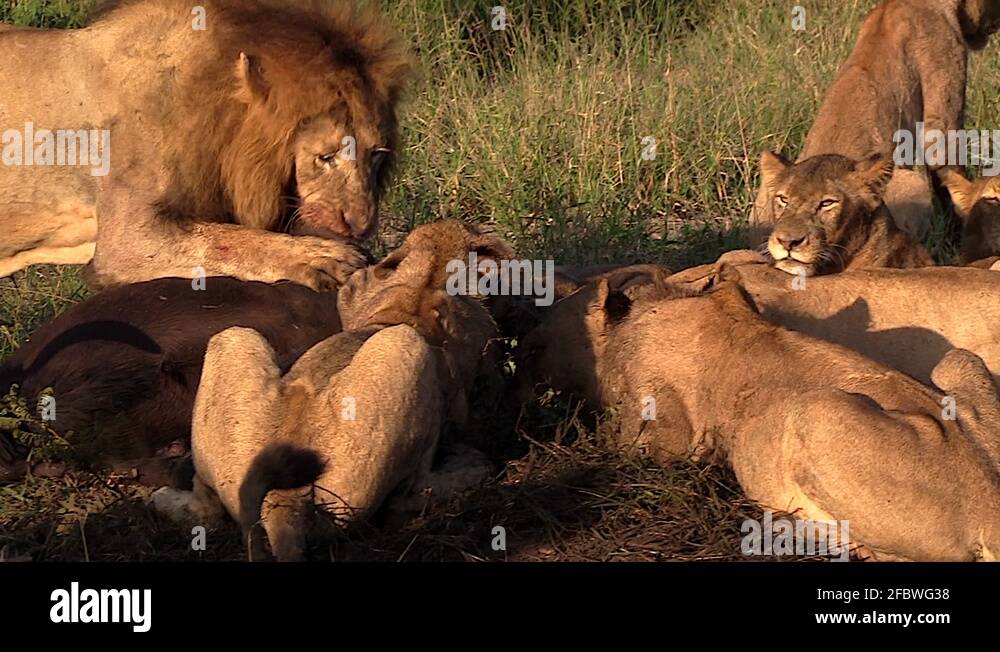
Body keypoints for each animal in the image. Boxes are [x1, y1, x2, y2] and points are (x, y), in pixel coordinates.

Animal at [0, 0, 411, 289]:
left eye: (377, 156)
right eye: (325, 157)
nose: (361, 227)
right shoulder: (124, 239)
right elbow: (223, 240)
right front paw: (321, 257)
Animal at [154, 221, 507, 560]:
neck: (428, 276)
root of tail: (284, 502)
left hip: (234, 339)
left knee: (208, 510)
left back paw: (163, 498)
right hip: (405, 347)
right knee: (408, 497)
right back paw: (473, 464)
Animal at [520, 270, 1000, 560]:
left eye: (537, 344)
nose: (522, 365)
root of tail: (991, 510)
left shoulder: (659, 436)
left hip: (813, 410)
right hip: (958, 361)